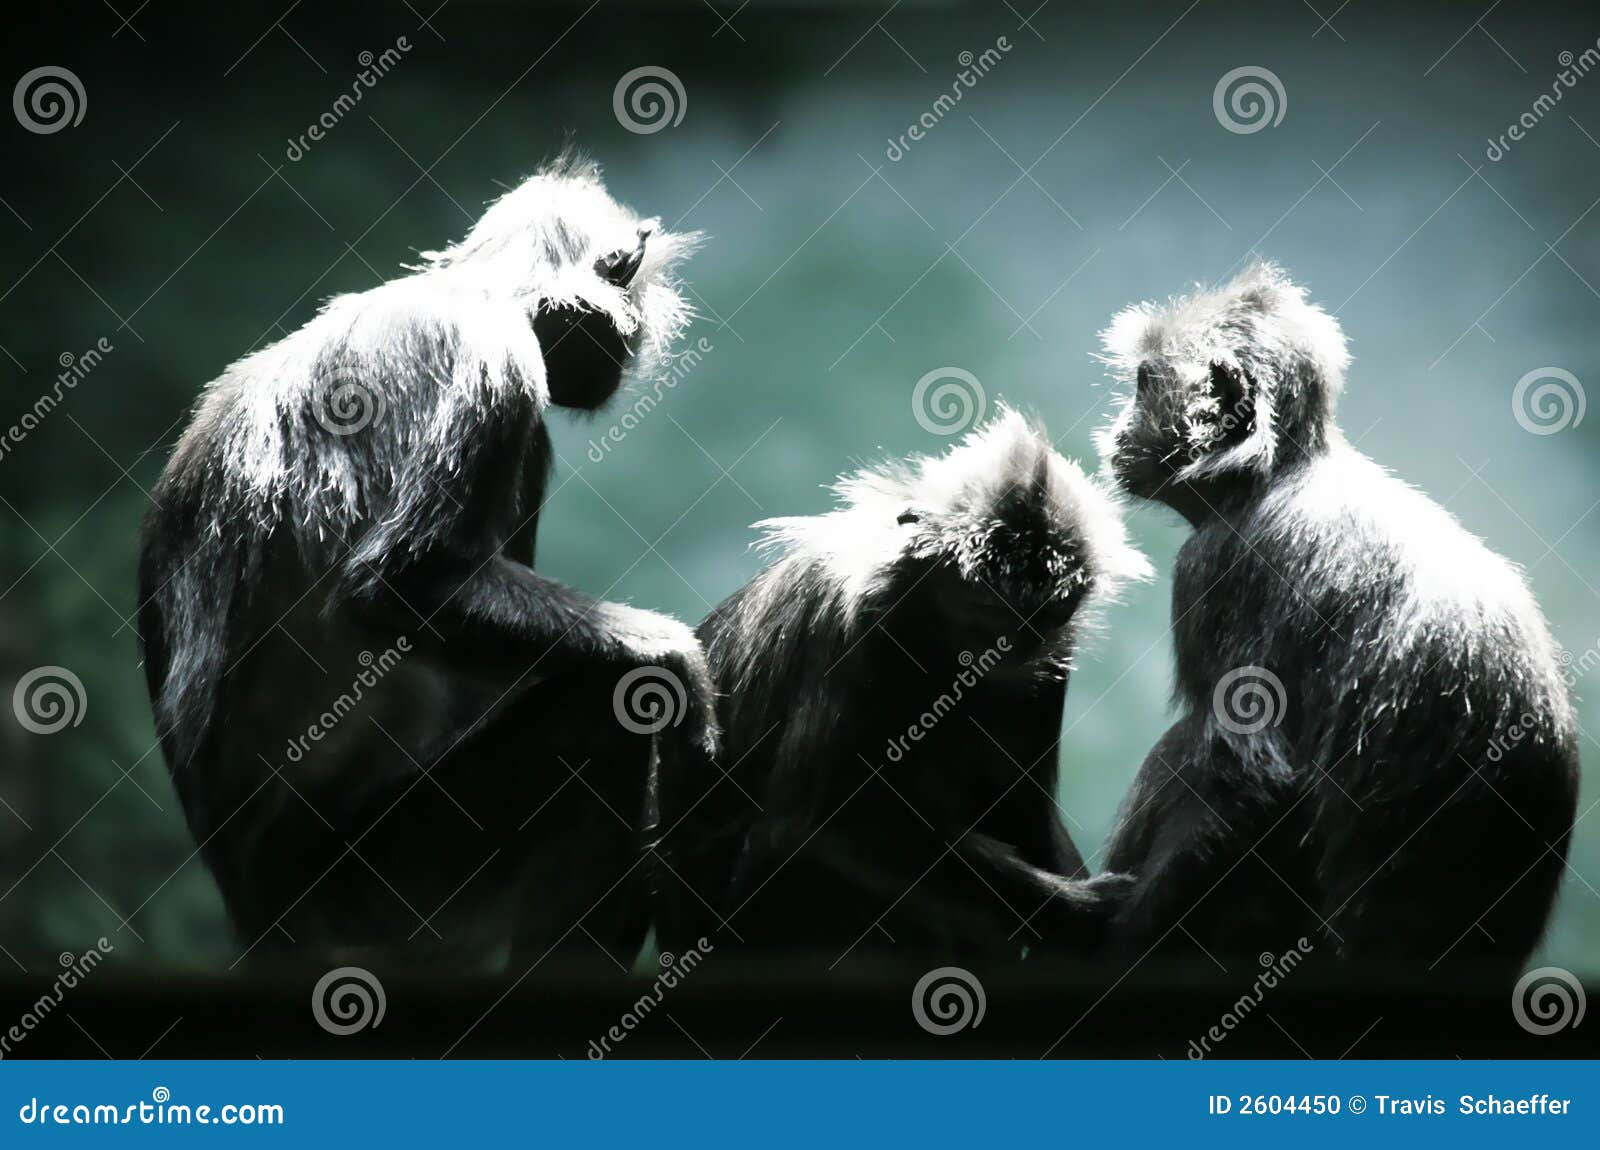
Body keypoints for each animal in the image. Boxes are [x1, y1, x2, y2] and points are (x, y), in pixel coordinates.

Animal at [136, 154, 715, 967]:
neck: (462, 289)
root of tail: (257, 916)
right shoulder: (499, 363)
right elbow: (400, 586)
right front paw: (675, 657)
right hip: (378, 891)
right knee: (607, 706)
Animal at [653, 407, 1151, 961]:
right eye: (983, 604)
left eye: (1043, 612)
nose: (1007, 646)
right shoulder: (861, 629)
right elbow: (809, 829)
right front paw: (1076, 911)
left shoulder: (1050, 658)